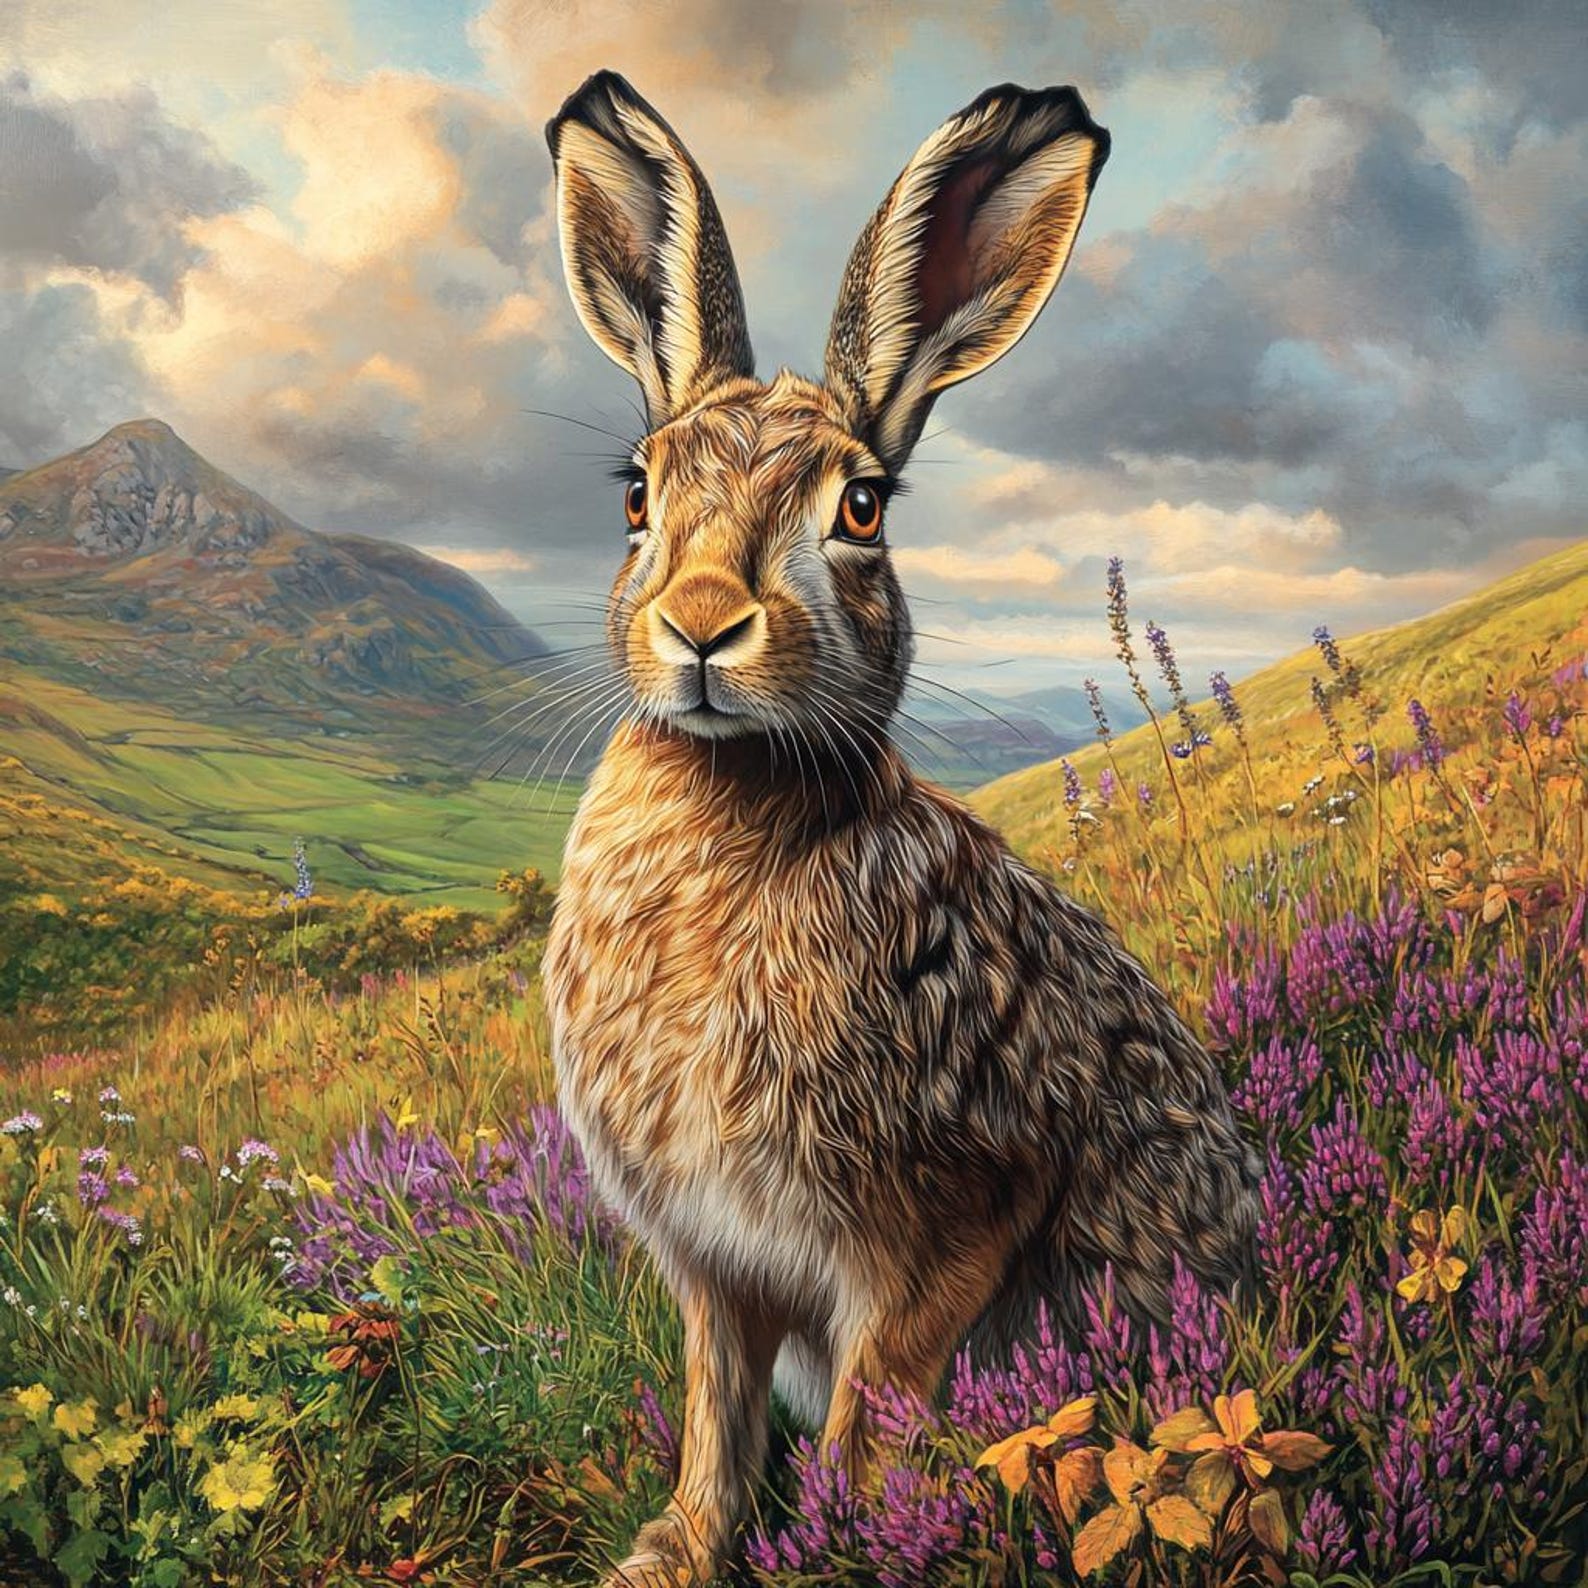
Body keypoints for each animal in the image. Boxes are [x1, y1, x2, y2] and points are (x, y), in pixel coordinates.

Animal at [542, 70, 1260, 1588]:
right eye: (637, 494)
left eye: (861, 508)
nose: (701, 624)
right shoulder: (712, 1259)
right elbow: (715, 1405)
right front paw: (677, 1551)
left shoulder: (949, 1215)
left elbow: (871, 1412)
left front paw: (848, 1546)